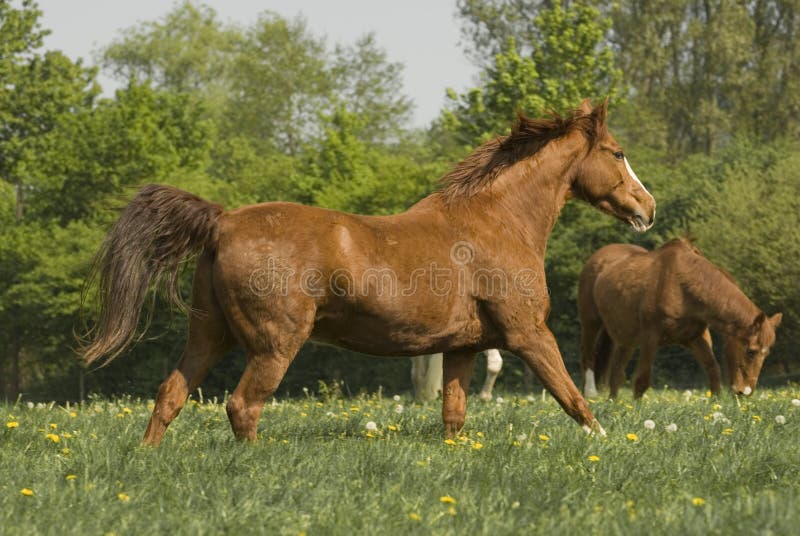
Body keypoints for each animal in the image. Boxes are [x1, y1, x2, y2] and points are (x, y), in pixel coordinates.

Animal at [81, 98, 655, 445]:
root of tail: (223, 221)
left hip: (209, 335)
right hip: (274, 343)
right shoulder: (528, 333)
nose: (647, 208)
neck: (498, 220)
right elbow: (574, 399)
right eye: (617, 152)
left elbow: (453, 416)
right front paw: (608, 444)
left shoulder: (463, 347)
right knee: (242, 406)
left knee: (170, 395)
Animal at [578, 238, 781, 399]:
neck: (683, 284)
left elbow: (713, 371)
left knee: (616, 374)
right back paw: (591, 395)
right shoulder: (650, 337)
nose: (744, 391)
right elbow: (642, 380)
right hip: (590, 324)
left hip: (626, 339)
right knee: (588, 358)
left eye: (766, 353)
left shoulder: (696, 337)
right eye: (751, 351)